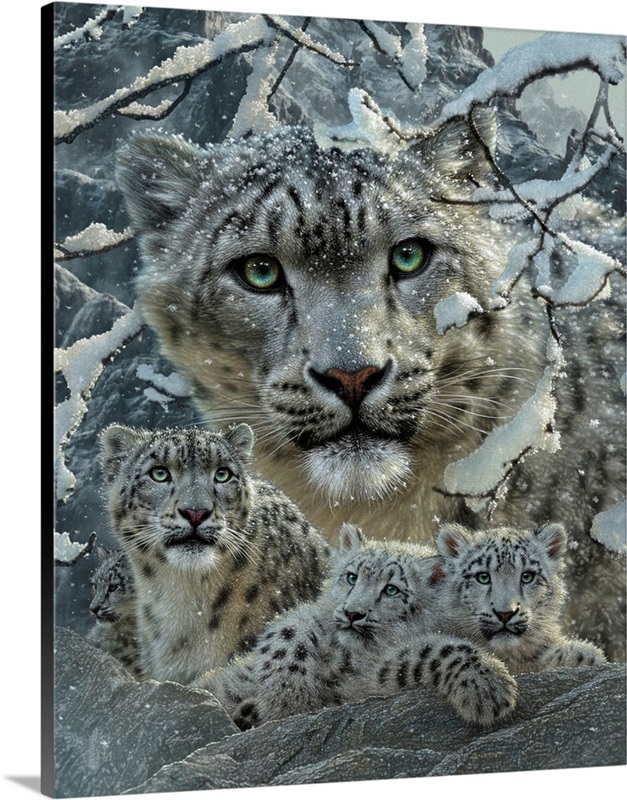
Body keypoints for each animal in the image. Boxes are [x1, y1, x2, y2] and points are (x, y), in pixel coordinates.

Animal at [195, 523, 517, 729]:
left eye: (391, 590)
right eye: (351, 577)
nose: (353, 613)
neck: (345, 657)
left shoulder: (372, 677)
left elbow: (435, 650)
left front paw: (490, 687)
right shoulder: (304, 620)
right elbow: (288, 635)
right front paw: (287, 699)